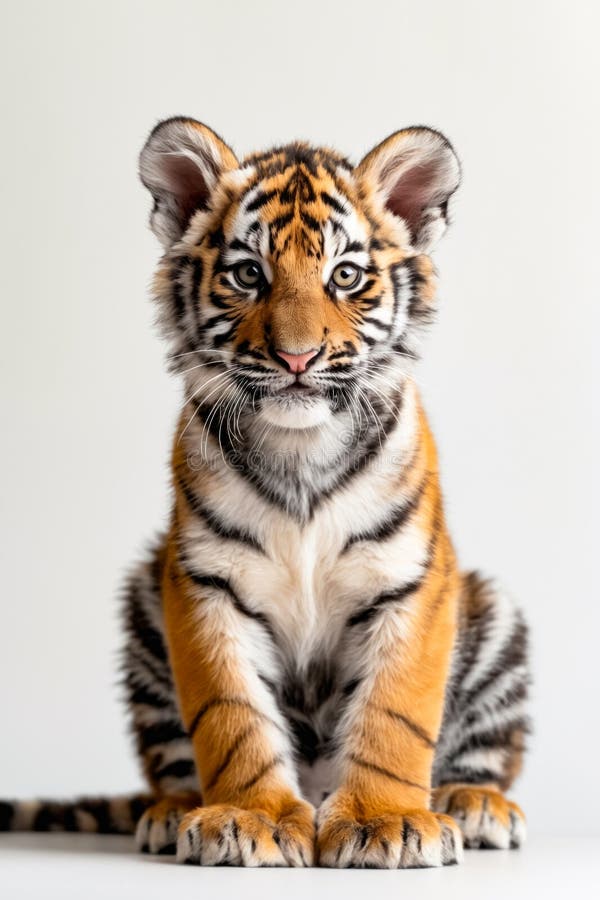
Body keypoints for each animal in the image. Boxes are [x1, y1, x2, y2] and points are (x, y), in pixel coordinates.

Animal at [0, 118, 530, 868]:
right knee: (172, 760)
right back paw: (173, 811)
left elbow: (395, 714)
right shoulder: (204, 581)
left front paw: (387, 819)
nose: (297, 358)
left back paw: (472, 803)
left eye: (345, 276)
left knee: (481, 756)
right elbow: (231, 716)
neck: (300, 451)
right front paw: (251, 818)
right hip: (142, 604)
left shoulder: (410, 580)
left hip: (494, 617)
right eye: (249, 274)